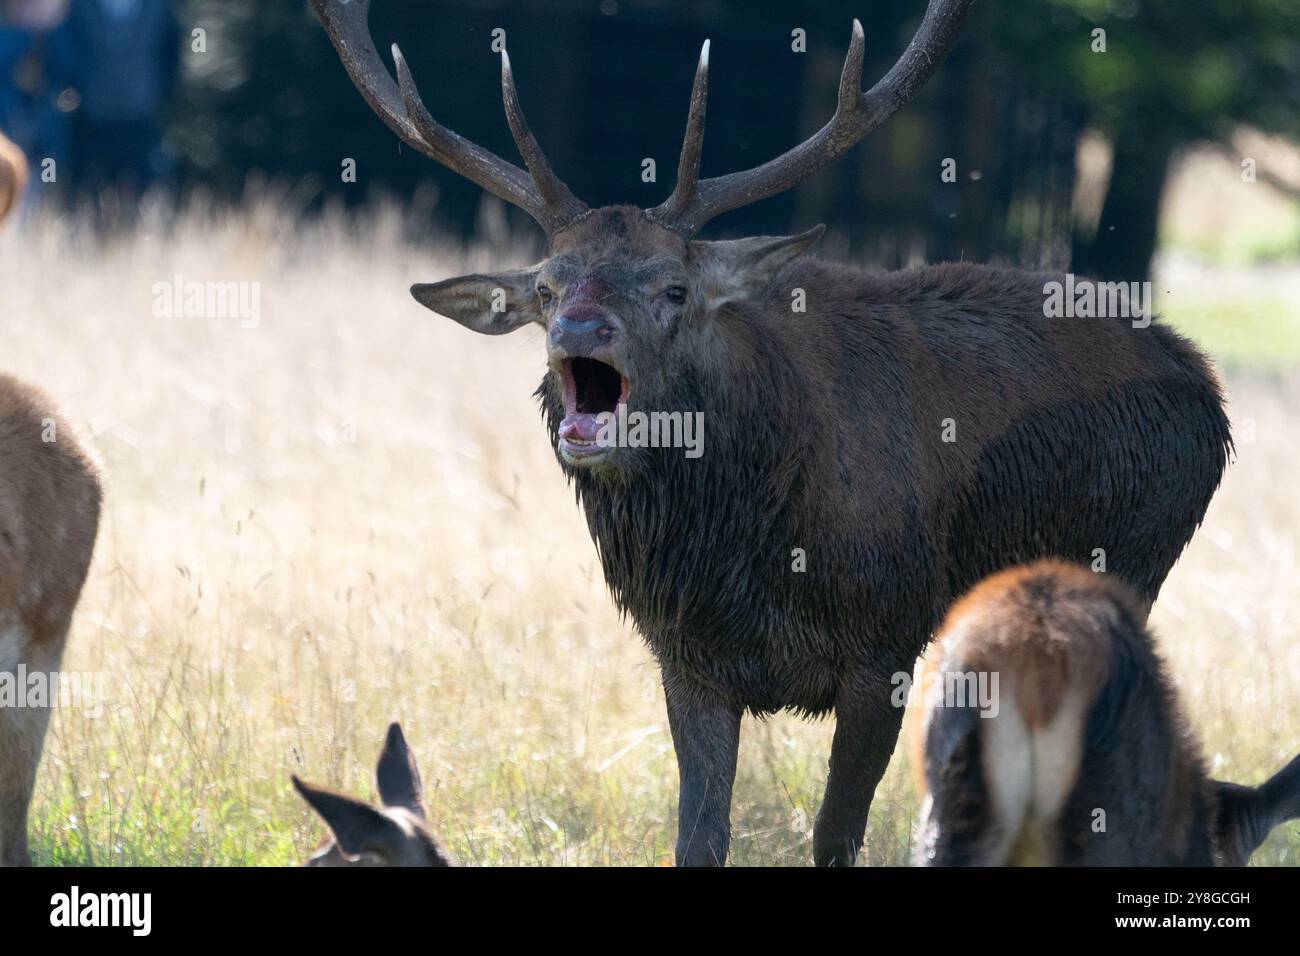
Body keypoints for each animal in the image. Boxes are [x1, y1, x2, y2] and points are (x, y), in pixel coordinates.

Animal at [312, 0, 1233, 866]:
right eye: (545, 286)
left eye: (675, 288)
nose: (579, 328)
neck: (748, 543)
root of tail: (1205, 383)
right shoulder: (685, 657)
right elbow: (698, 837)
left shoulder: (884, 642)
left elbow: (835, 834)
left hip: (1135, 561)